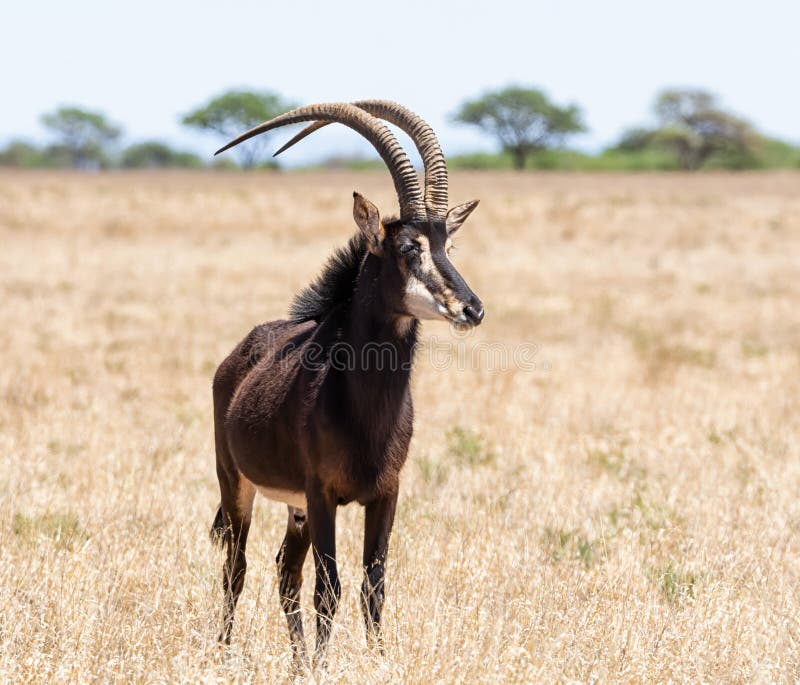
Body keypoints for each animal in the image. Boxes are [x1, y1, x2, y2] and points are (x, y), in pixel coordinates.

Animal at [210, 101, 484, 670]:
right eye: (408, 247)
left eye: (449, 243)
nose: (472, 308)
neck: (365, 406)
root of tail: (237, 357)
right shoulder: (323, 495)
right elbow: (330, 587)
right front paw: (322, 667)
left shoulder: (386, 494)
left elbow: (372, 585)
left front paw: (373, 663)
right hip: (237, 484)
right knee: (237, 567)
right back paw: (222, 654)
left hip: (294, 509)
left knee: (284, 572)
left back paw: (294, 663)